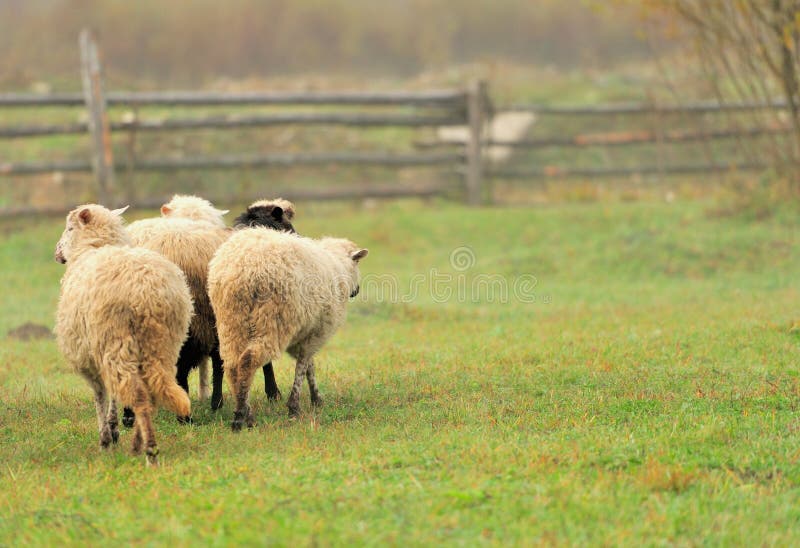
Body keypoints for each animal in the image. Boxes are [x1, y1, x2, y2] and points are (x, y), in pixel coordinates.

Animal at [54, 204, 192, 466]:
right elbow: (114, 397)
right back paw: (139, 444)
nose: (57, 253)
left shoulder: (90, 357)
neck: (94, 247)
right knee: (151, 393)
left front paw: (106, 439)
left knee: (138, 396)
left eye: (69, 228)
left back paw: (150, 451)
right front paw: (114, 429)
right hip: (163, 344)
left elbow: (100, 395)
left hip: (117, 341)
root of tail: (147, 293)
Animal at [208, 228, 368, 431]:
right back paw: (243, 418)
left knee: (232, 366)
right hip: (271, 322)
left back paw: (244, 410)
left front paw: (315, 399)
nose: (356, 291)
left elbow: (309, 366)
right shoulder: (317, 332)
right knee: (248, 361)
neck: (338, 267)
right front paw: (296, 406)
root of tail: (242, 268)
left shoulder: (306, 332)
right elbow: (303, 366)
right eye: (357, 262)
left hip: (231, 323)